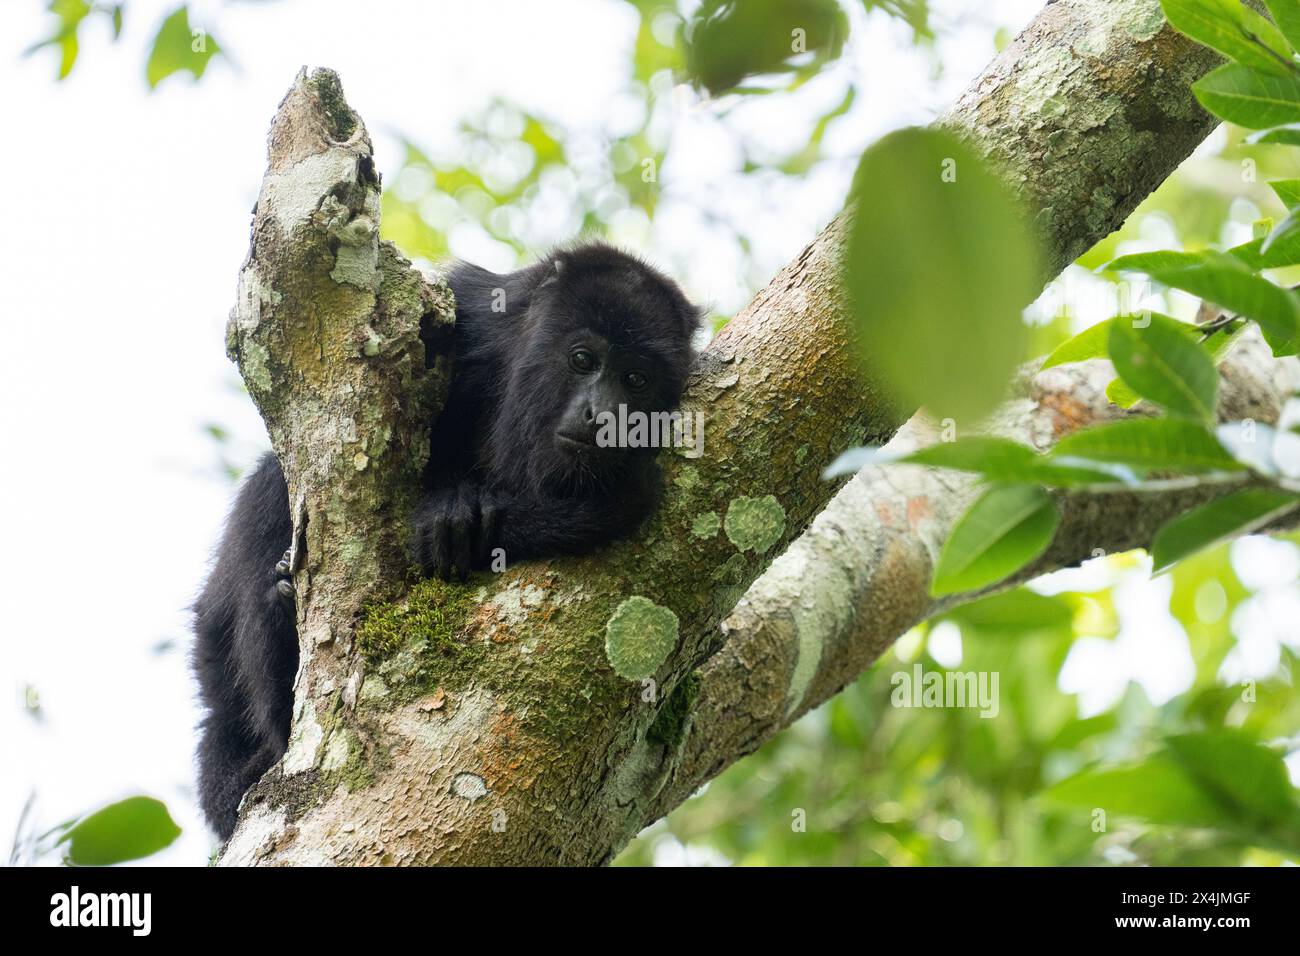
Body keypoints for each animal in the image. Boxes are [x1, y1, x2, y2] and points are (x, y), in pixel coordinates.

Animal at [192, 241, 702, 840]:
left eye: (636, 380)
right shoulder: (466, 324)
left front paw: (470, 517)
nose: (604, 416)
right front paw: (450, 505)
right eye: (583, 359)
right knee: (269, 493)